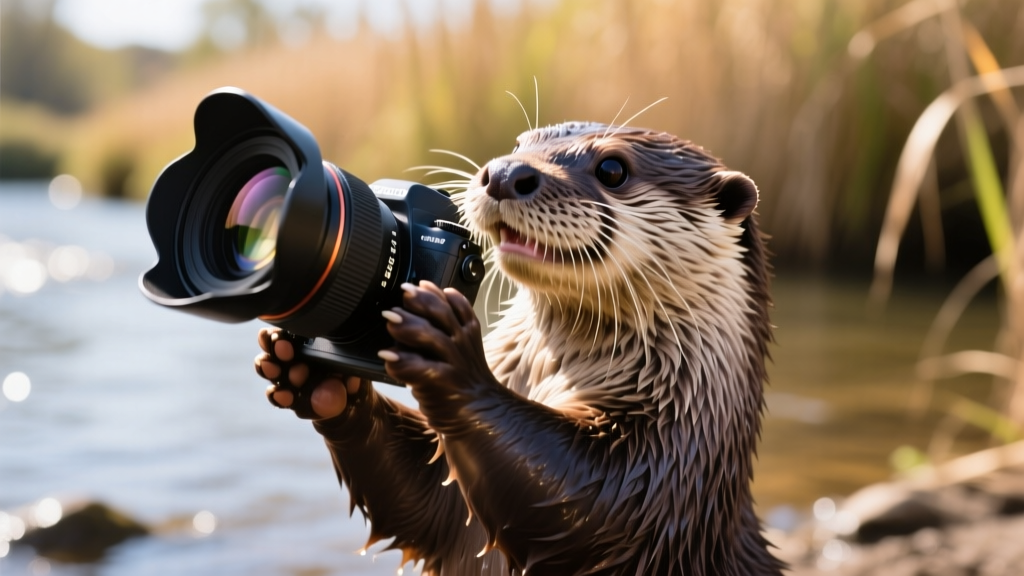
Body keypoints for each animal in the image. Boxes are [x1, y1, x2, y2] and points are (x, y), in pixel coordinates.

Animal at [255, 121, 783, 575]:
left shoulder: (661, 481)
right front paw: (312, 376)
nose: (506, 173)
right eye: (520, 143)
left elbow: (595, 509)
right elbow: (420, 498)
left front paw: (447, 350)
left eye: (613, 169)